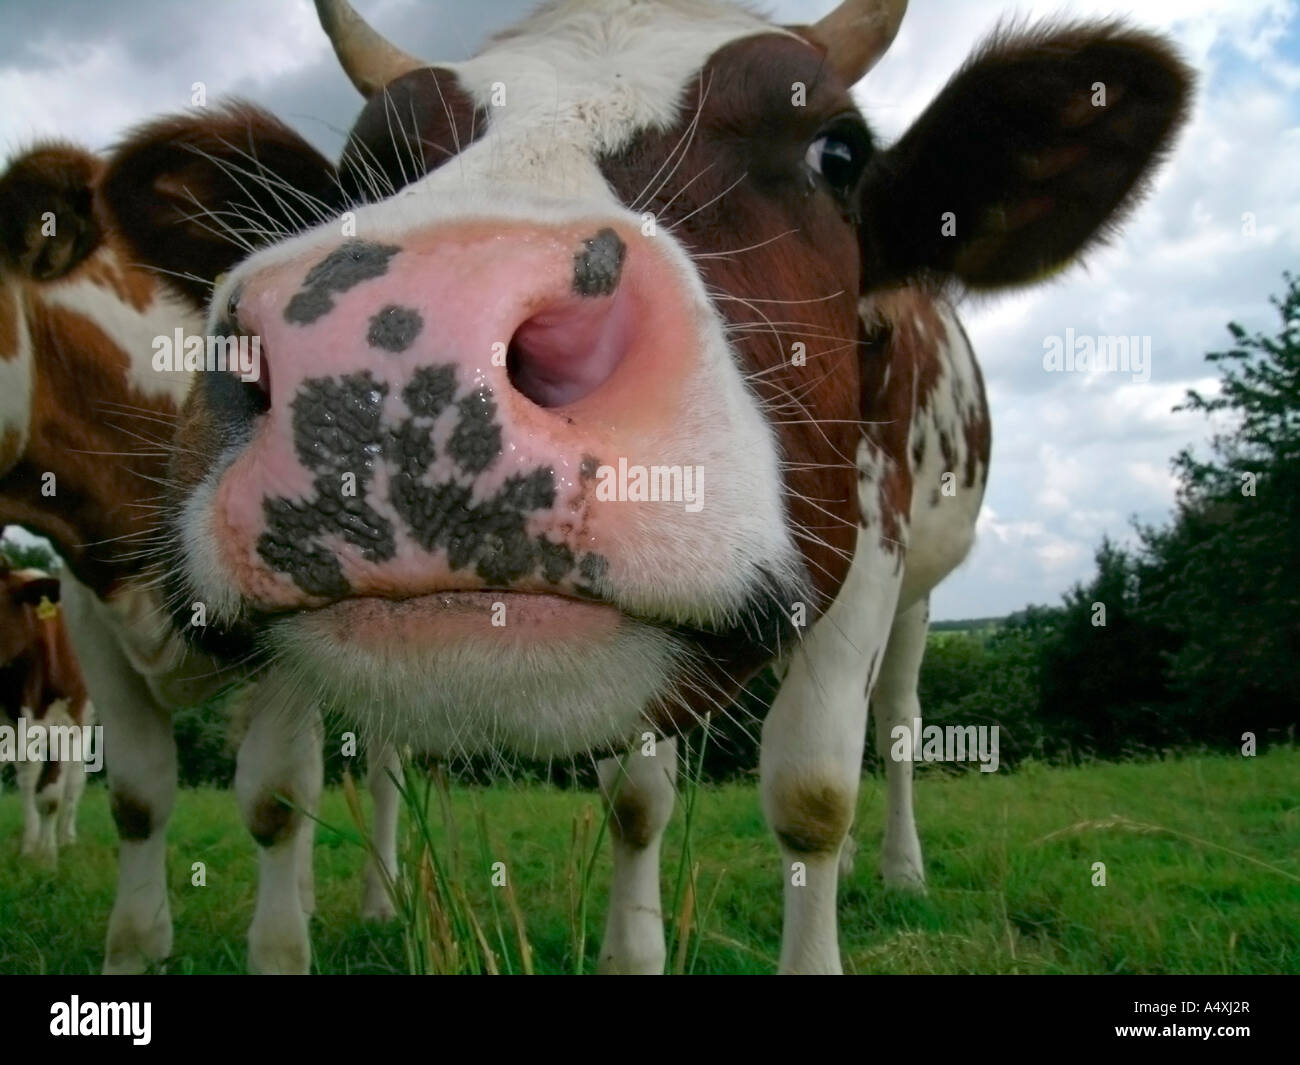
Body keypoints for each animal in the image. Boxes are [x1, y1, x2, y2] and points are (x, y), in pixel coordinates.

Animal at [0, 562, 92, 864]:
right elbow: (29, 781)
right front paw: (30, 848)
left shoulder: (66, 722)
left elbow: (51, 795)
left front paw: (48, 856)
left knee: (75, 780)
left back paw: (66, 839)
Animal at [102, 0, 1190, 973]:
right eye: (370, 168)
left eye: (838, 154)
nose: (399, 330)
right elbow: (634, 801)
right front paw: (633, 951)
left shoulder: (871, 543)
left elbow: (813, 795)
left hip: (923, 588)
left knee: (900, 721)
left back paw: (898, 869)